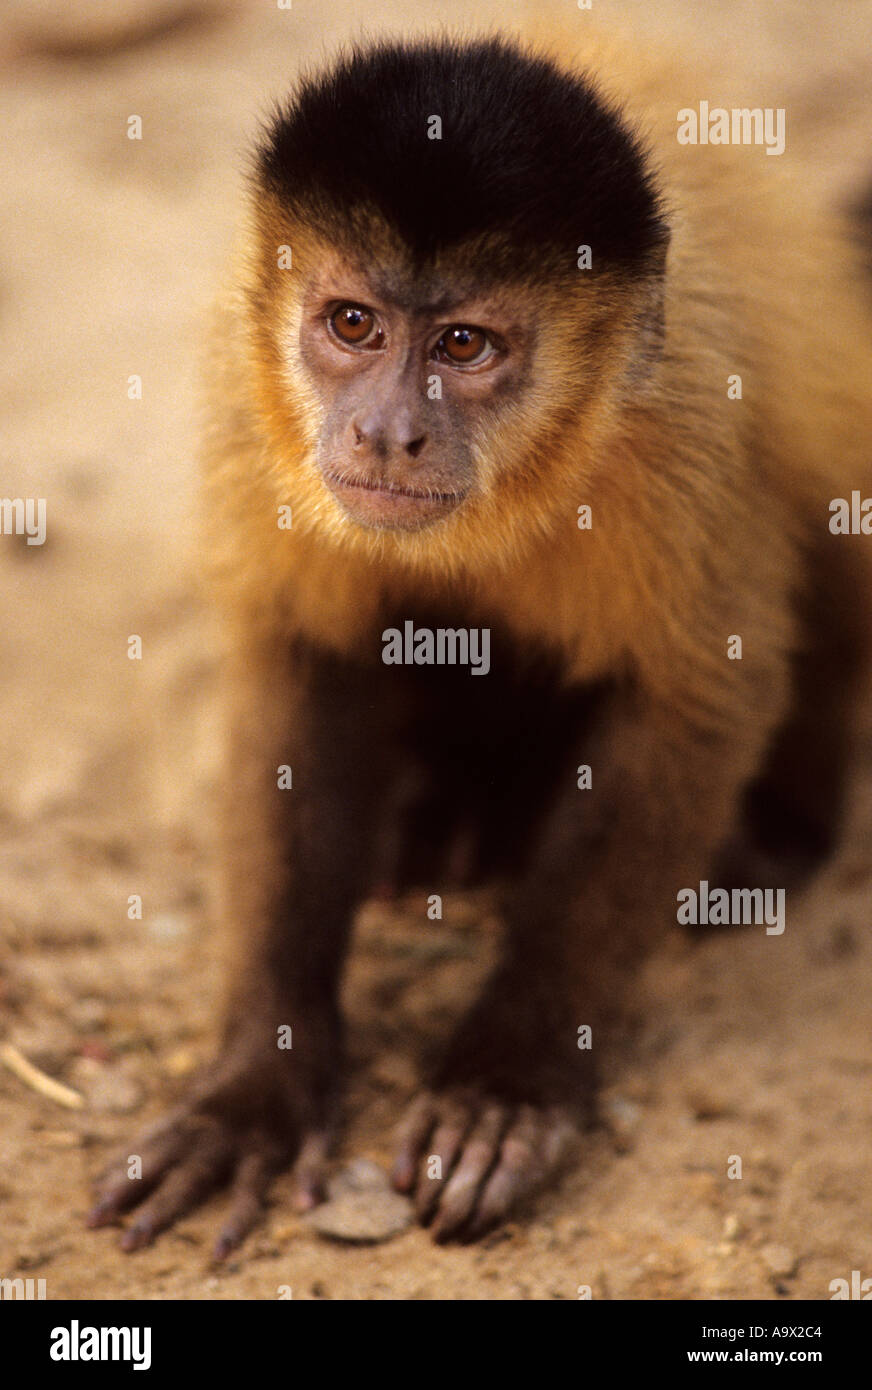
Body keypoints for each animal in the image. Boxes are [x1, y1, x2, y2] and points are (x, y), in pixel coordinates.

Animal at [87, 28, 872, 1256]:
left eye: (463, 344)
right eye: (352, 324)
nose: (386, 432)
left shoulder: (680, 424)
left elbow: (695, 701)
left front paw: (508, 1080)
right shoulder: (248, 395)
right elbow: (302, 663)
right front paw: (256, 1086)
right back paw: (441, 824)